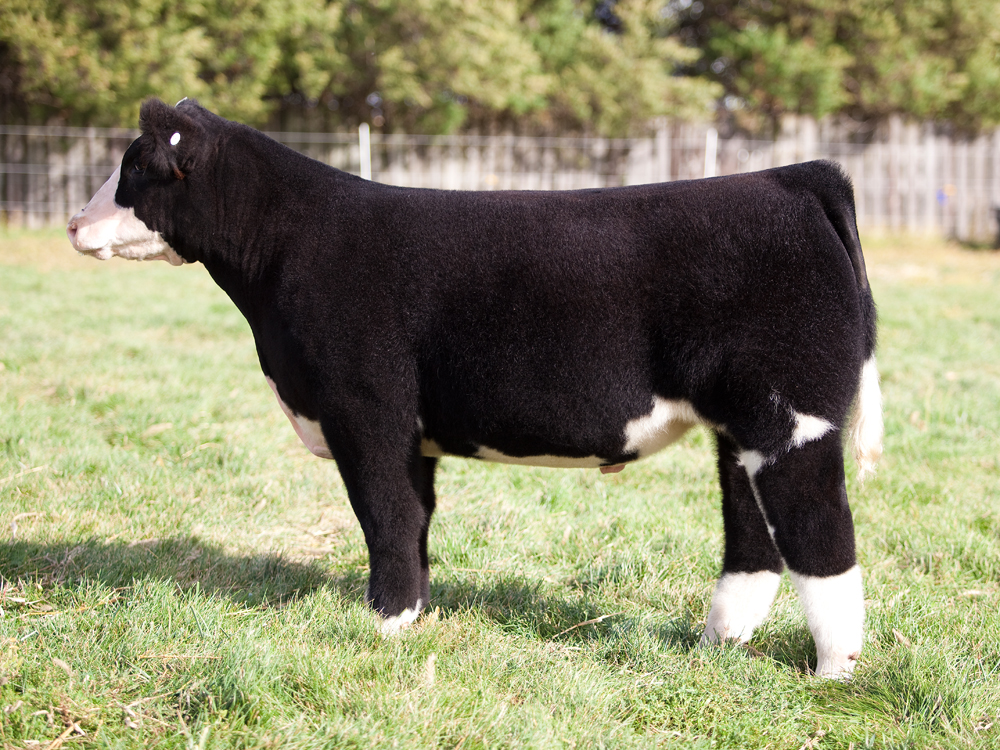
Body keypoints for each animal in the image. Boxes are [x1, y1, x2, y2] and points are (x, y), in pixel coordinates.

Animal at [67, 98, 882, 679]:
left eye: (135, 167)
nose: (73, 223)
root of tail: (792, 177)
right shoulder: (410, 431)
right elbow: (417, 519)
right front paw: (415, 616)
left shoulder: (365, 410)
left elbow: (387, 517)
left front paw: (384, 625)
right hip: (742, 427)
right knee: (754, 538)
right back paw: (718, 641)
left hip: (792, 419)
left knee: (820, 534)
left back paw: (832, 669)